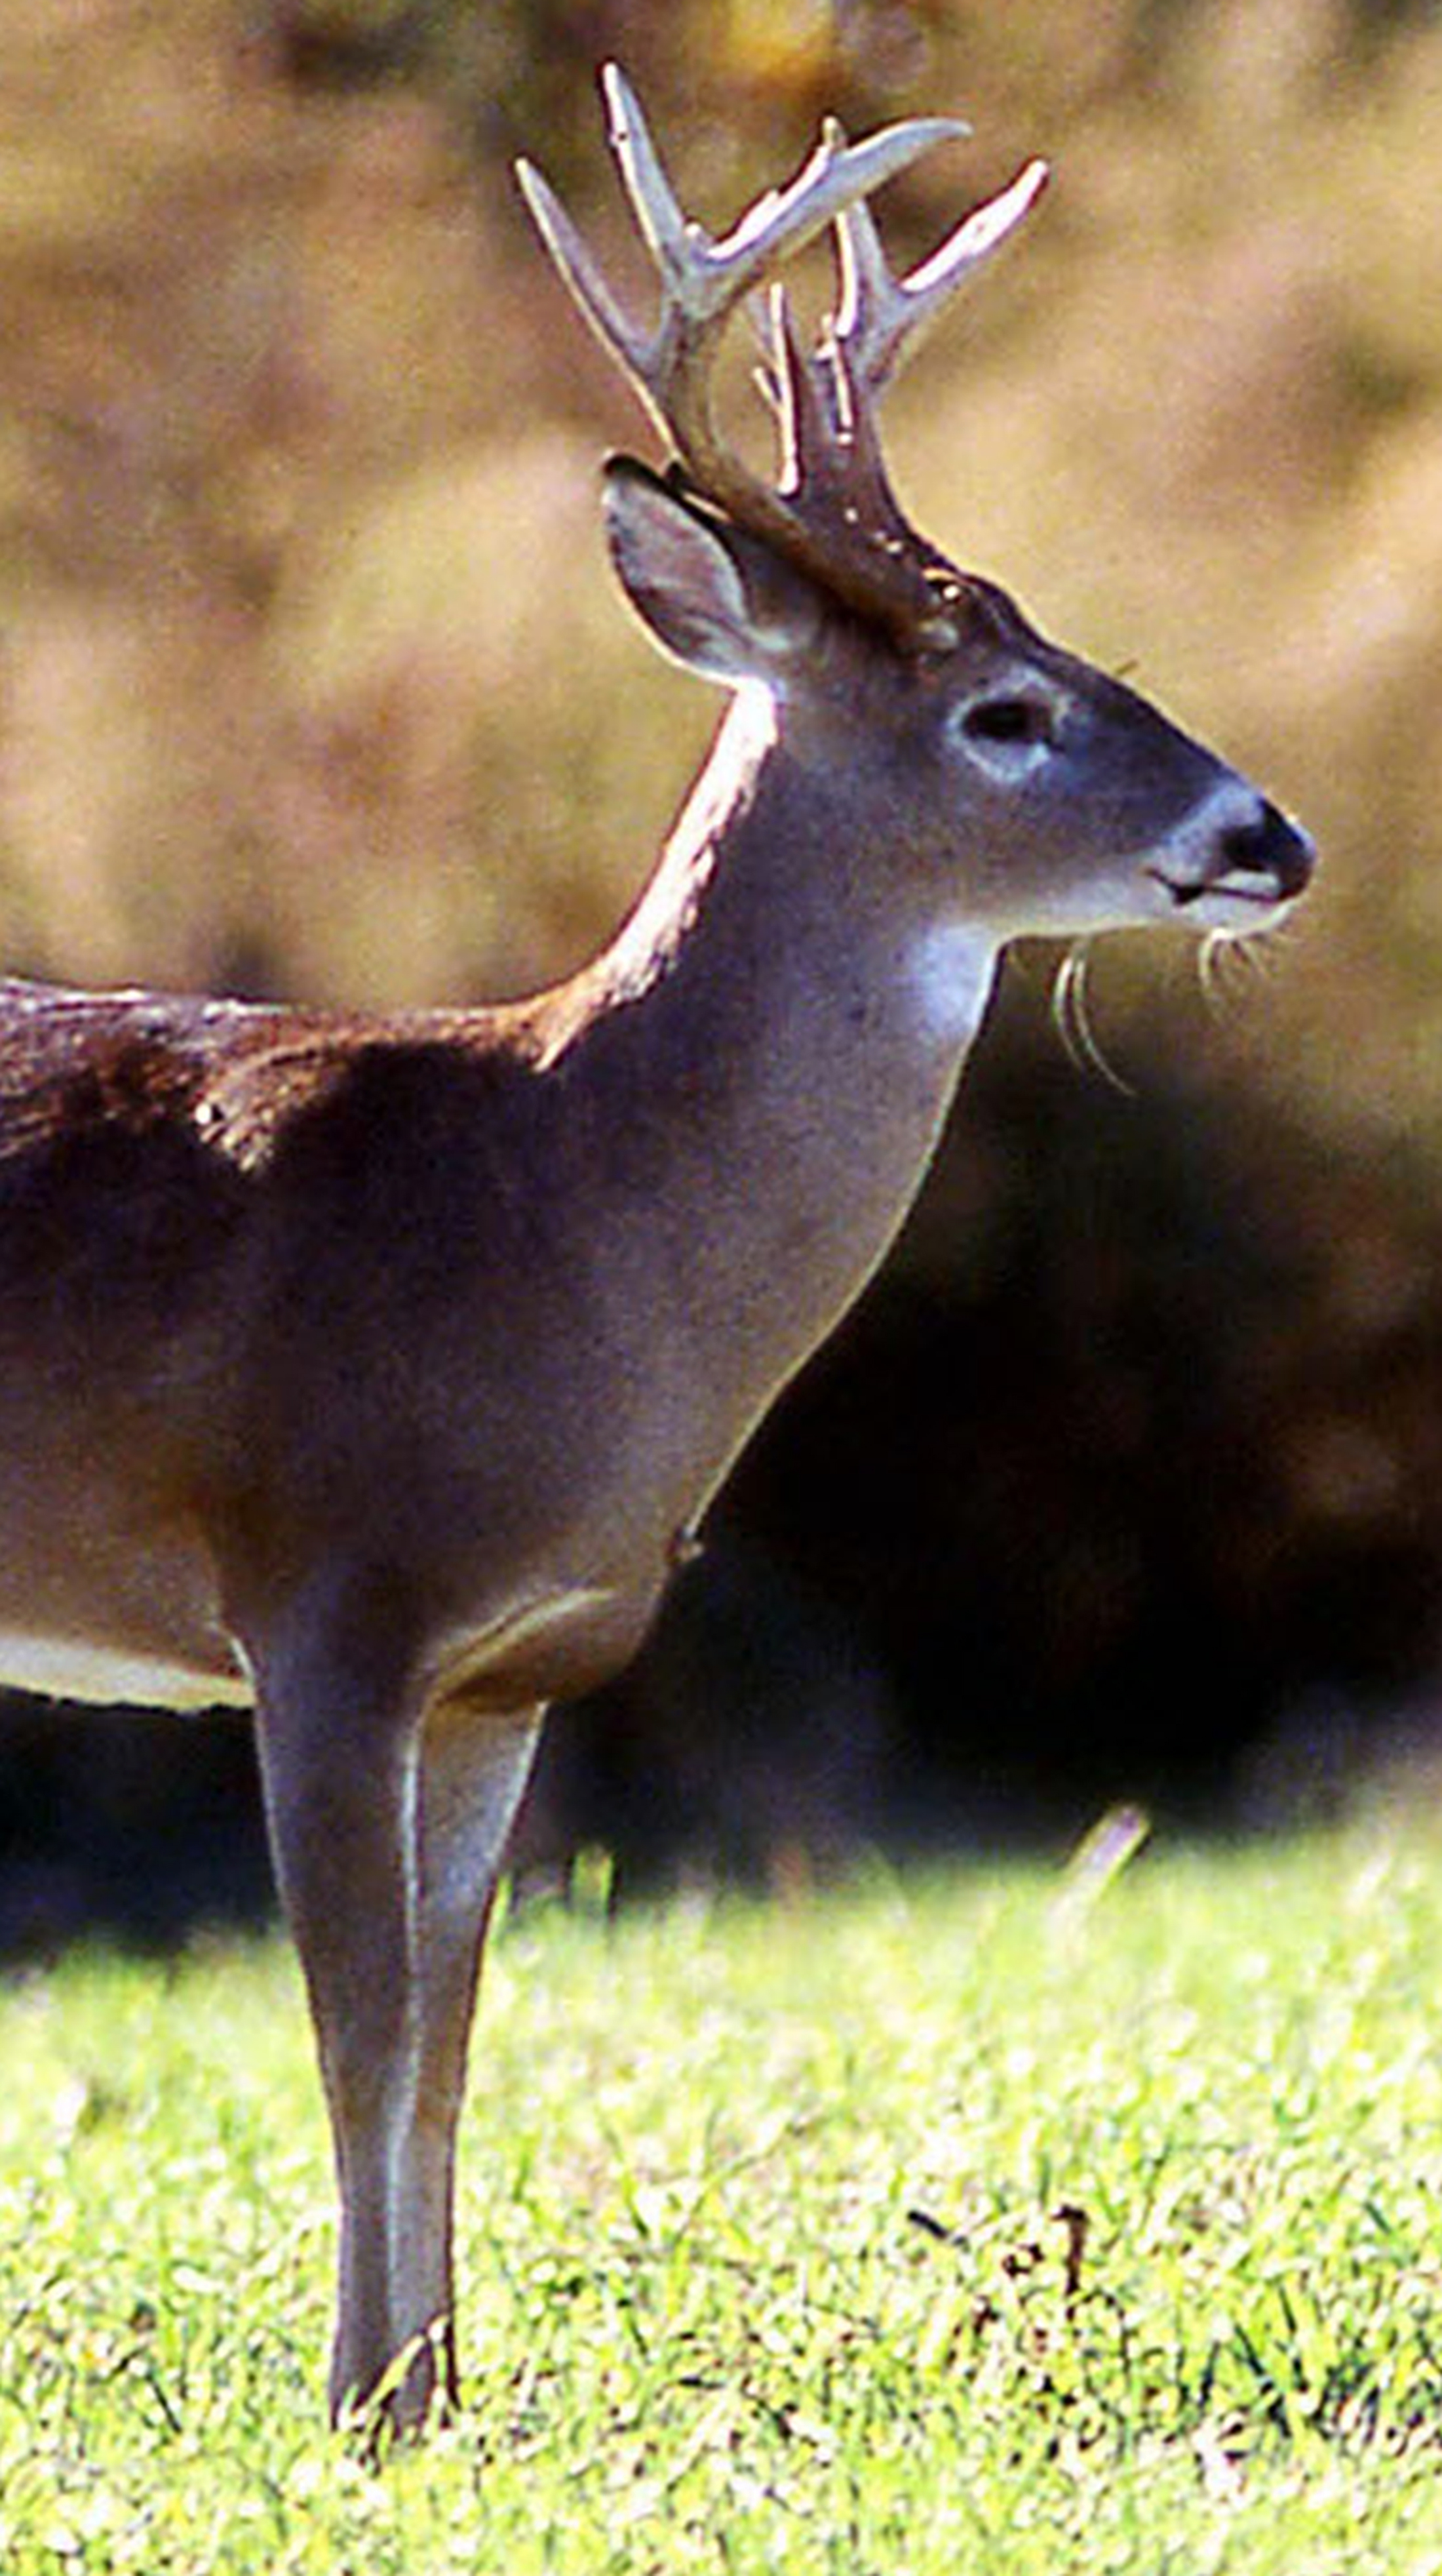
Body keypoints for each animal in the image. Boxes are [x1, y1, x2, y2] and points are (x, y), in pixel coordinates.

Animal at [0, 67, 1312, 2434]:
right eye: (1002, 715)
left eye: (1090, 661)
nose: (1274, 837)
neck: (555, 1218)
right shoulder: (322, 1592)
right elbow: (356, 2027)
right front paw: (357, 2409)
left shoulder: (517, 1663)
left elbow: (450, 2035)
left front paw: (431, 2391)